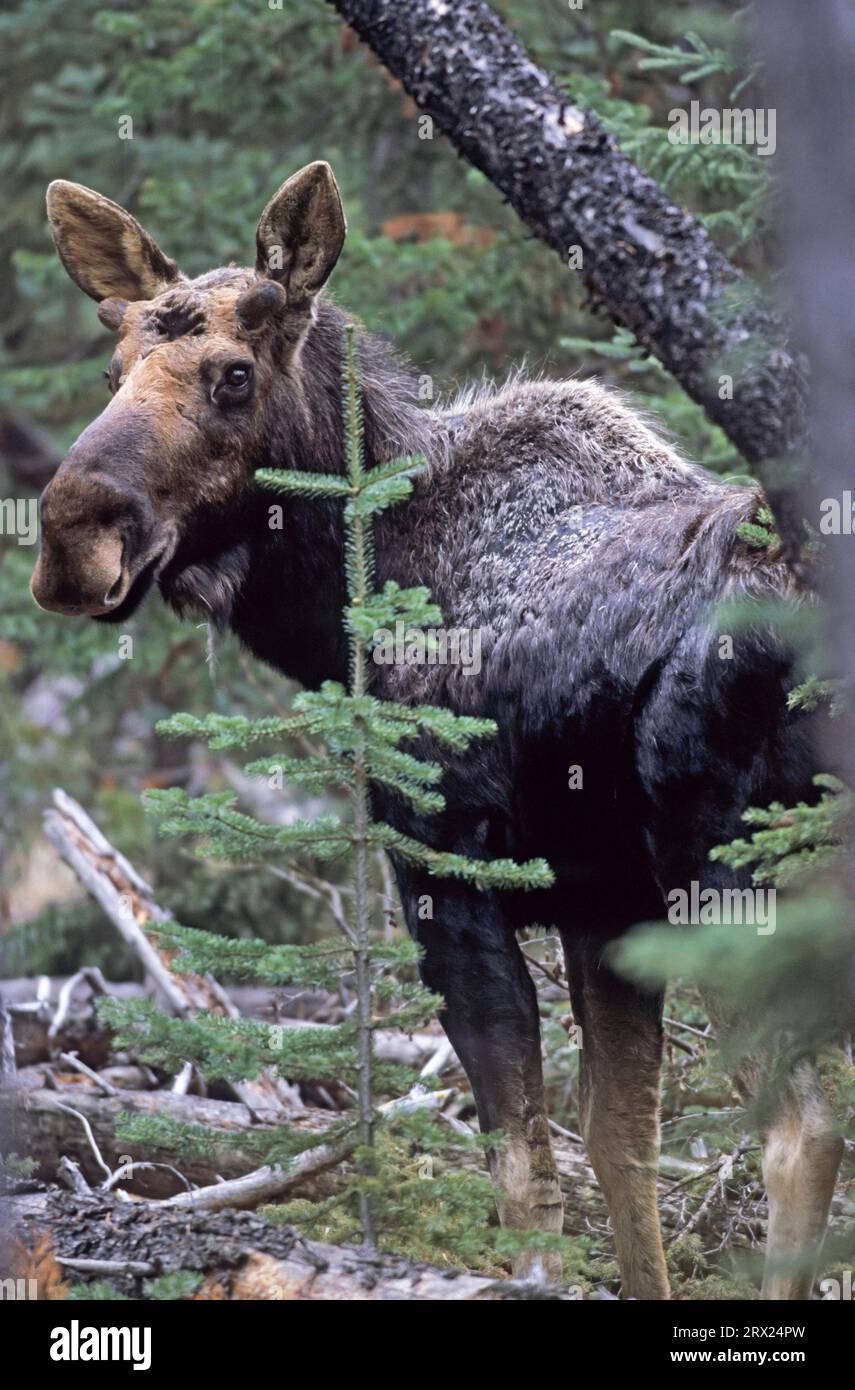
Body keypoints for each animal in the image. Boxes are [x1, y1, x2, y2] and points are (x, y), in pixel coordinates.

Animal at [31, 161, 844, 1298]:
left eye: (233, 375)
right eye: (114, 365)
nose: (71, 536)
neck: (349, 595)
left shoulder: (446, 870)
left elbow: (522, 1171)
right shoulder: (601, 902)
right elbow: (618, 1144)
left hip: (738, 875)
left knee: (798, 1129)